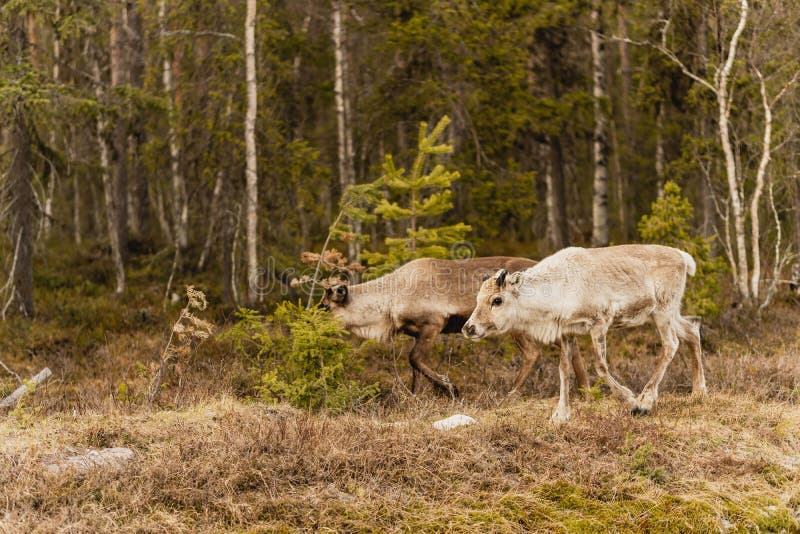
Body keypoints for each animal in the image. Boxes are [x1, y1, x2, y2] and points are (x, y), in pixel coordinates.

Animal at [320, 256, 590, 398]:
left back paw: (510, 393)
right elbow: (415, 371)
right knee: (573, 346)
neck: (388, 304)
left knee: (533, 353)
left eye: (325, 307)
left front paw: (450, 388)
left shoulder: (433, 324)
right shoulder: (416, 333)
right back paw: (585, 389)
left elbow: (414, 359)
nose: (314, 328)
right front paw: (416, 397)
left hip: (519, 324)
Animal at [463, 245, 706, 422]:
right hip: (666, 313)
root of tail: (685, 258)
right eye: (478, 298)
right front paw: (561, 414)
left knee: (671, 344)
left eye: (497, 300)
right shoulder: (566, 331)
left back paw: (646, 400)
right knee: (692, 330)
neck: (555, 293)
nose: (468, 328)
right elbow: (563, 369)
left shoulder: (600, 322)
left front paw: (630, 401)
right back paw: (698, 392)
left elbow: (600, 366)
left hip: (663, 310)